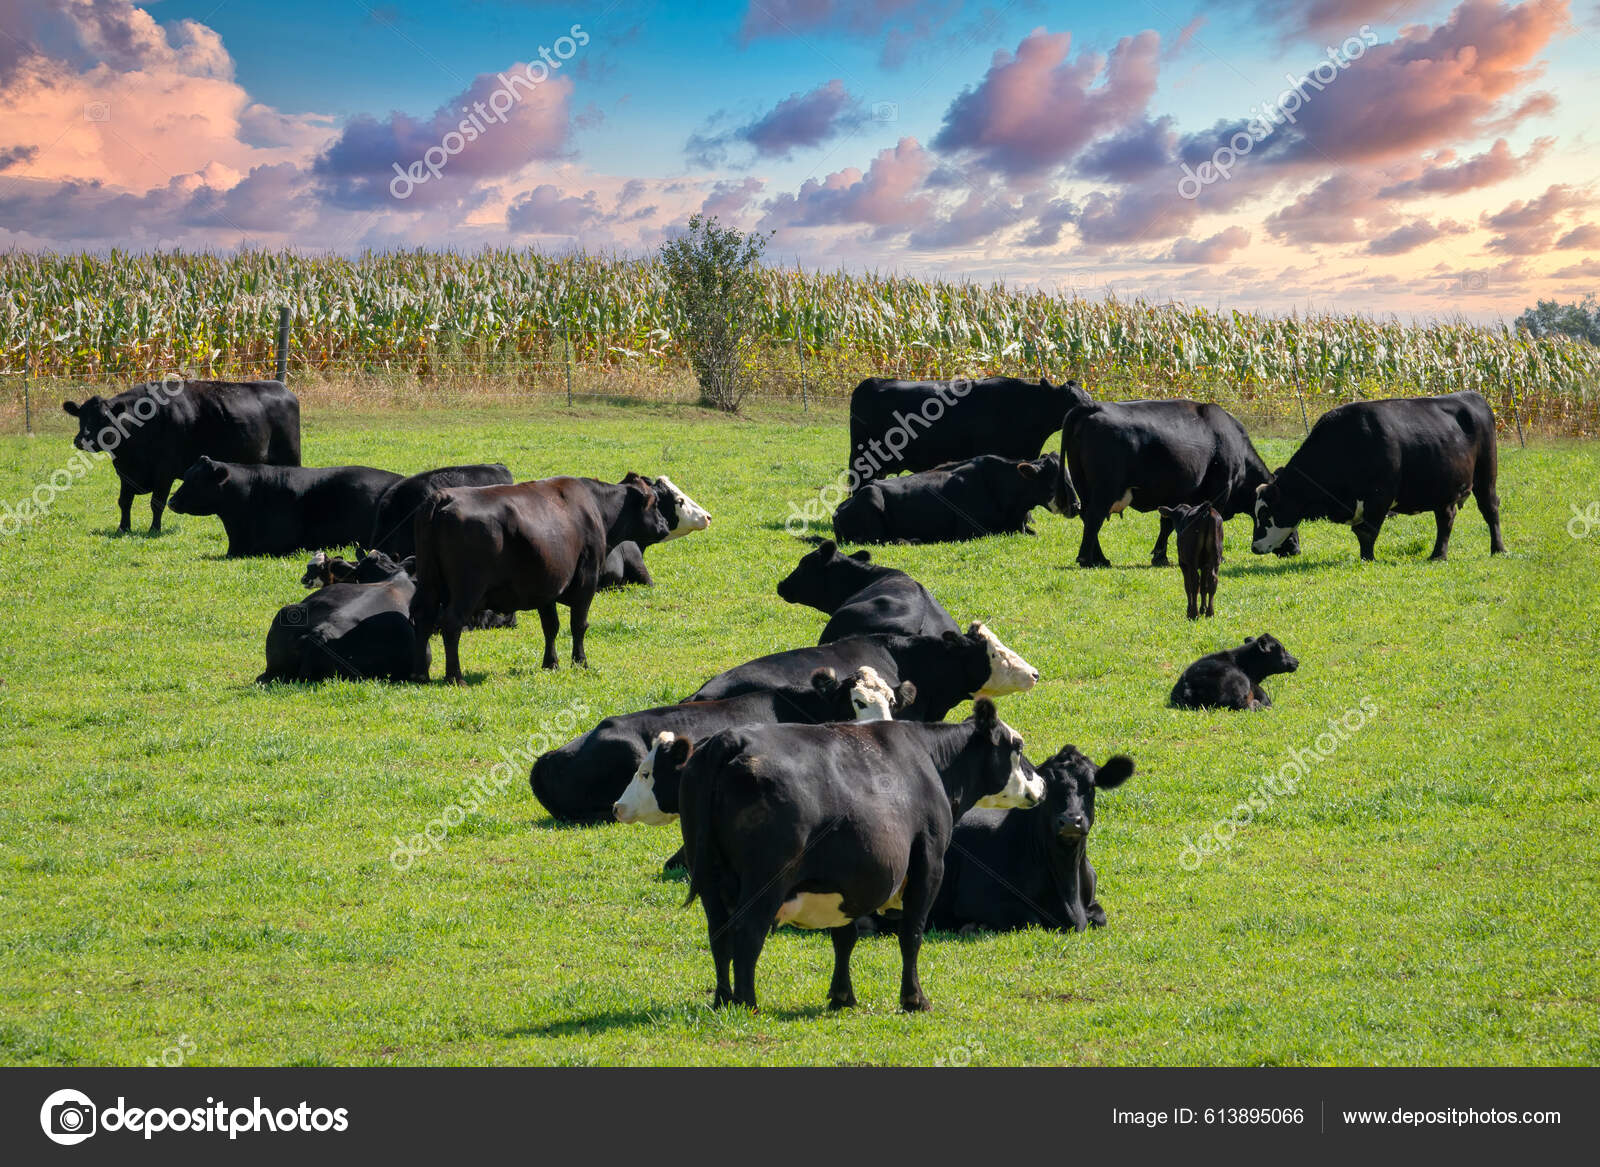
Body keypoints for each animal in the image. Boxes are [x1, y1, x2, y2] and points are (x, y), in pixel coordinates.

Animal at [62, 379, 300, 534]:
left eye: (104, 418)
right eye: (81, 416)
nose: (81, 439)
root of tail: (281, 387)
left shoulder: (164, 472)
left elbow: (157, 502)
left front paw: (154, 530)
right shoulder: (126, 472)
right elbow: (124, 501)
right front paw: (123, 528)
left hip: (291, 457)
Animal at [409, 476, 672, 682]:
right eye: (656, 503)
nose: (665, 526)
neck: (595, 508)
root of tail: (443, 497)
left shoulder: (547, 587)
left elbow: (551, 626)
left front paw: (551, 663)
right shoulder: (586, 581)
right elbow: (578, 625)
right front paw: (580, 662)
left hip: (428, 583)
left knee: (423, 619)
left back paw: (421, 674)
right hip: (468, 589)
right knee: (451, 624)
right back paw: (455, 677)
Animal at [676, 698, 1044, 1011]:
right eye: (1018, 746)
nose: (1041, 783)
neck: (930, 762)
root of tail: (732, 739)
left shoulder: (850, 879)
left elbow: (844, 937)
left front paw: (842, 997)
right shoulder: (928, 862)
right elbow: (912, 934)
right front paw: (914, 1000)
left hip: (709, 879)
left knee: (719, 934)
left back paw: (723, 1000)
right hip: (766, 880)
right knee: (747, 933)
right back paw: (747, 1003)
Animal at [1053, 398, 1297, 568]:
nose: (1295, 549)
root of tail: (1091, 406)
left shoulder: (1176, 495)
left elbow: (1167, 523)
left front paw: (1160, 556)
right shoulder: (1220, 490)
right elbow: (1211, 520)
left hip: (1084, 485)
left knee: (1088, 518)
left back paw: (1100, 558)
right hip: (1105, 489)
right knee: (1094, 518)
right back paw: (1087, 559)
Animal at [1250, 392, 1505, 562]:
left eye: (1265, 514)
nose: (1254, 547)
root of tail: (1471, 395)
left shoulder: (1379, 497)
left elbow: (1366, 532)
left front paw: (1367, 559)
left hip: (1486, 476)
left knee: (1490, 510)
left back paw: (1498, 549)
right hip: (1443, 489)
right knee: (1446, 519)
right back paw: (1437, 555)